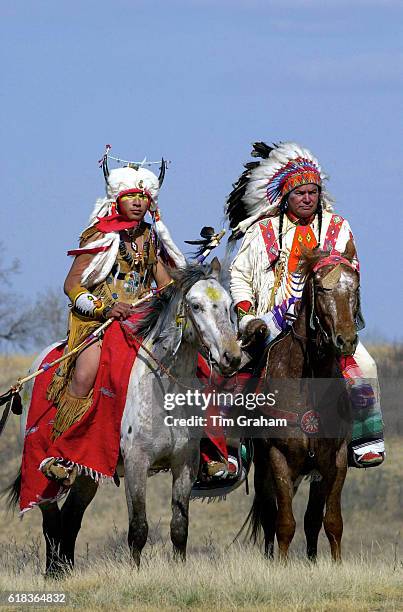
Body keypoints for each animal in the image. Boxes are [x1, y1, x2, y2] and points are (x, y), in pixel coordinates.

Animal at [9, 258, 241, 572]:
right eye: (195, 305)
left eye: (229, 305)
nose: (232, 357)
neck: (162, 390)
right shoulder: (136, 463)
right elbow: (138, 528)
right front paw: (135, 573)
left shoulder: (185, 463)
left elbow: (179, 526)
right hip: (41, 469)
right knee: (51, 521)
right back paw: (53, 572)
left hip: (87, 472)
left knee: (71, 519)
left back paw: (65, 571)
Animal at [249, 241, 360, 560]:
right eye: (321, 288)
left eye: (355, 287)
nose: (346, 340)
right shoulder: (278, 458)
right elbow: (284, 522)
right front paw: (281, 565)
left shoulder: (334, 460)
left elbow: (330, 521)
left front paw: (334, 565)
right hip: (264, 467)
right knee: (269, 516)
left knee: (311, 519)